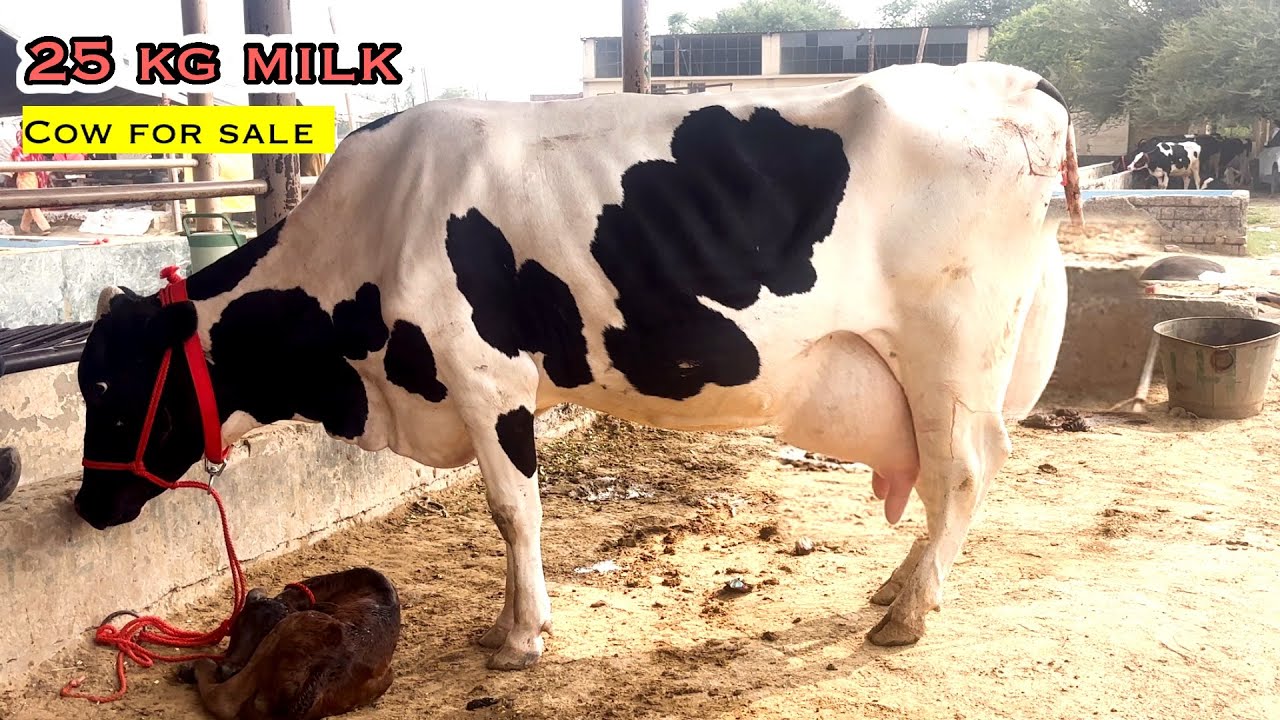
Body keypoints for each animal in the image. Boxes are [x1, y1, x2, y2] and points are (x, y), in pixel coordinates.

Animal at [71, 60, 1082, 671]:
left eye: (112, 389)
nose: (86, 507)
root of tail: (1020, 84)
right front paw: (513, 624)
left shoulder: (488, 380)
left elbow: (512, 509)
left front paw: (520, 636)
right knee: (957, 479)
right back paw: (903, 584)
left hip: (950, 352)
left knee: (961, 474)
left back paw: (907, 614)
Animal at [177, 567, 401, 720]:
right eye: (236, 626)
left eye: (265, 631)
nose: (227, 669)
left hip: (291, 625)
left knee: (223, 699)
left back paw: (194, 667)